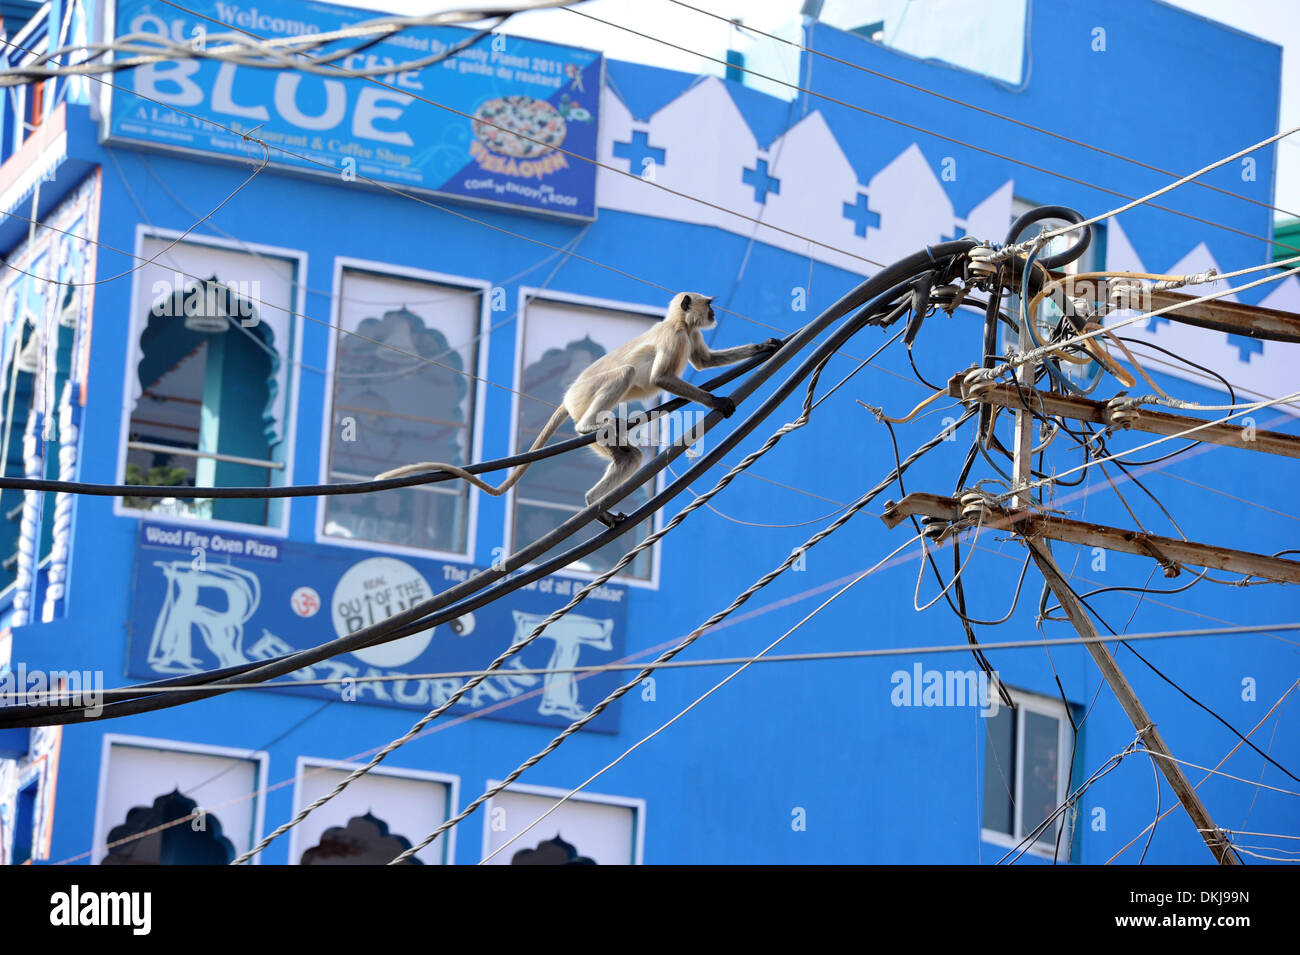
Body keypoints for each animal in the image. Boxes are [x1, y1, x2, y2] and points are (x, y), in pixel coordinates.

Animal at [376, 292, 782, 528]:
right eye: (707, 304)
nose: (713, 312)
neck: (676, 324)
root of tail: (569, 400)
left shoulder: (690, 334)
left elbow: (703, 361)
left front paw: (766, 346)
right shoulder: (674, 336)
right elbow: (661, 377)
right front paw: (717, 402)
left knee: (628, 457)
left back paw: (592, 502)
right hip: (587, 397)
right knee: (626, 373)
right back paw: (587, 428)